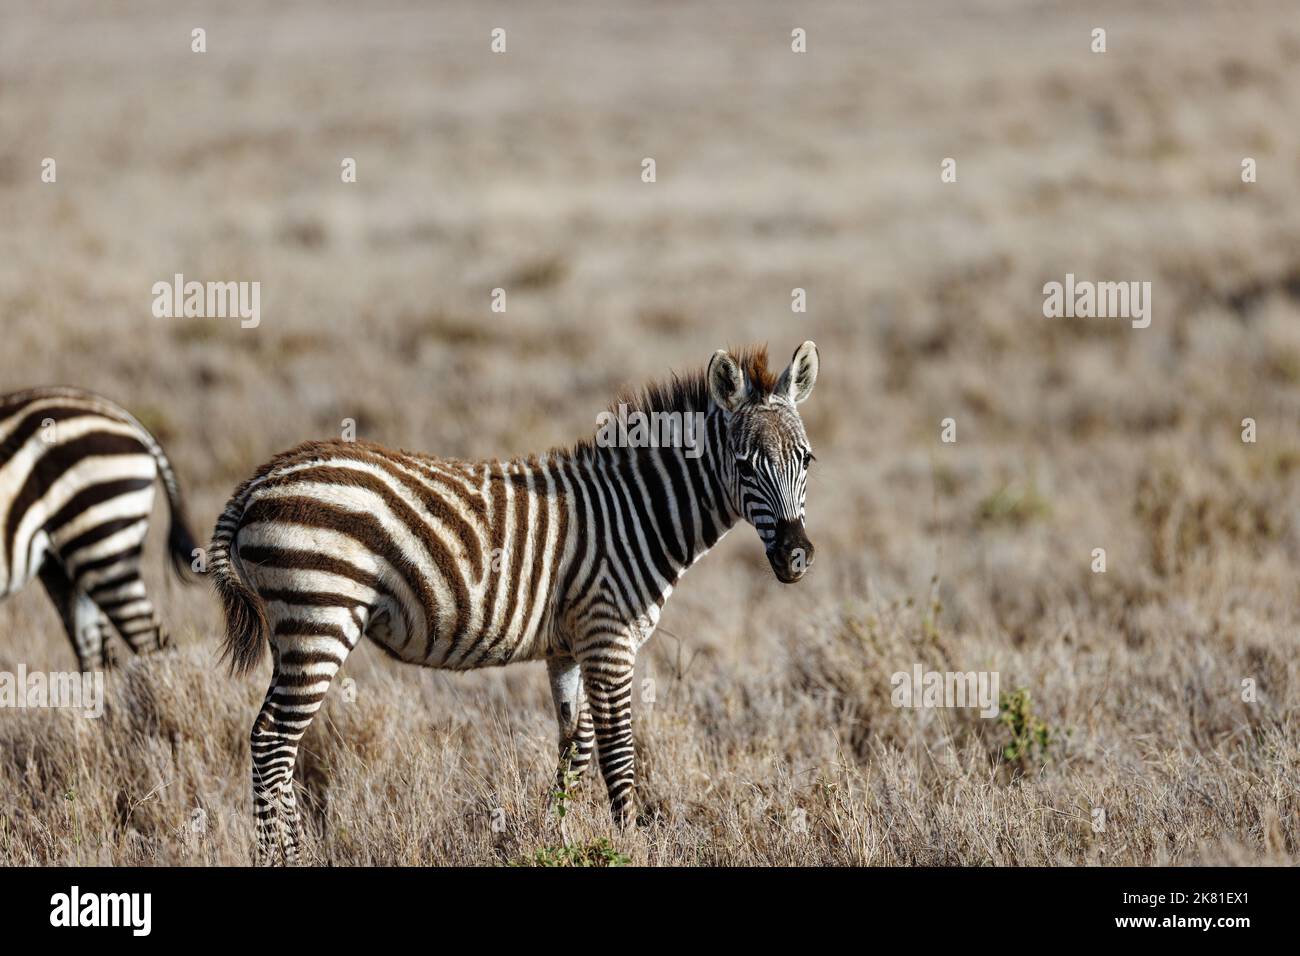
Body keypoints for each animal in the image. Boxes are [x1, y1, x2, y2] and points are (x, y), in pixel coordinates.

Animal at [210, 341, 819, 864]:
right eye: (744, 464)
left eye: (807, 460)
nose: (796, 557)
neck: (636, 514)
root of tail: (260, 479)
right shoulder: (609, 637)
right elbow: (618, 756)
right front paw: (630, 847)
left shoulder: (569, 648)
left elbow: (574, 750)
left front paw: (559, 840)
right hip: (320, 615)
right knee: (272, 742)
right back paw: (283, 861)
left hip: (292, 628)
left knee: (277, 744)